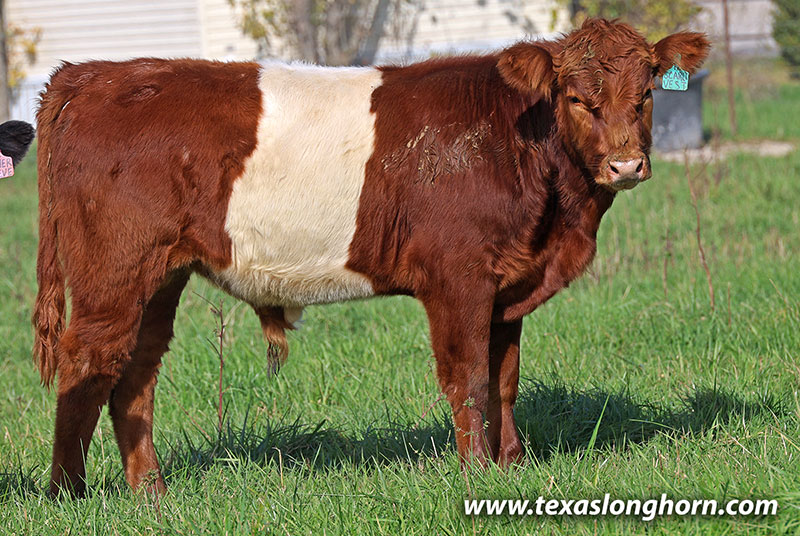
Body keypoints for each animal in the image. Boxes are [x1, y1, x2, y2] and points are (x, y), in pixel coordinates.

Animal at [33, 18, 709, 496]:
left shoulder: (508, 284)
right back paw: (69, 494)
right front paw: (477, 476)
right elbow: (469, 379)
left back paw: (151, 492)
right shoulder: (459, 278)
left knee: (135, 375)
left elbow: (506, 379)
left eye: (647, 92)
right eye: (575, 98)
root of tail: (96, 74)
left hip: (160, 276)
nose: (626, 164)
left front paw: (513, 467)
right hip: (113, 273)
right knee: (86, 361)